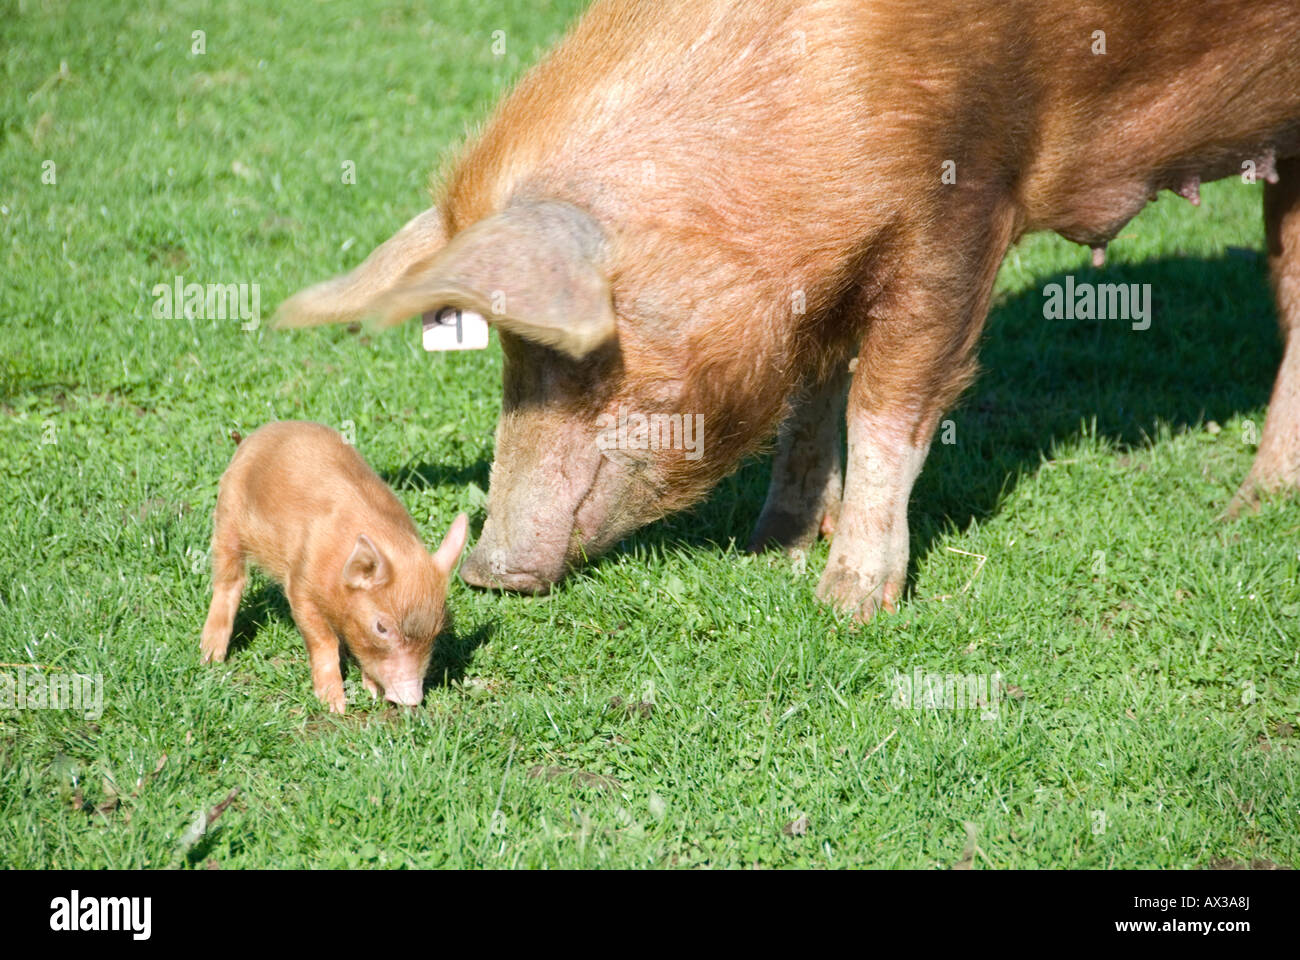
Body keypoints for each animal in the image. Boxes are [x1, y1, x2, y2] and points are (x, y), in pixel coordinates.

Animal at [199, 421, 469, 711]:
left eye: (438, 629)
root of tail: (263, 433)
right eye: (381, 628)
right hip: (228, 513)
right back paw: (210, 657)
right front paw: (335, 706)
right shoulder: (300, 584)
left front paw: (371, 692)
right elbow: (322, 640)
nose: (411, 699)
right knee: (229, 579)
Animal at [276, 0, 1300, 620]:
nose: (489, 571)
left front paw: (848, 605)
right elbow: (812, 391)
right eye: (506, 358)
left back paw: (1242, 512)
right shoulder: (821, 269)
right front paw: (772, 548)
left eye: (577, 353)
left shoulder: (965, 200)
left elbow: (890, 397)